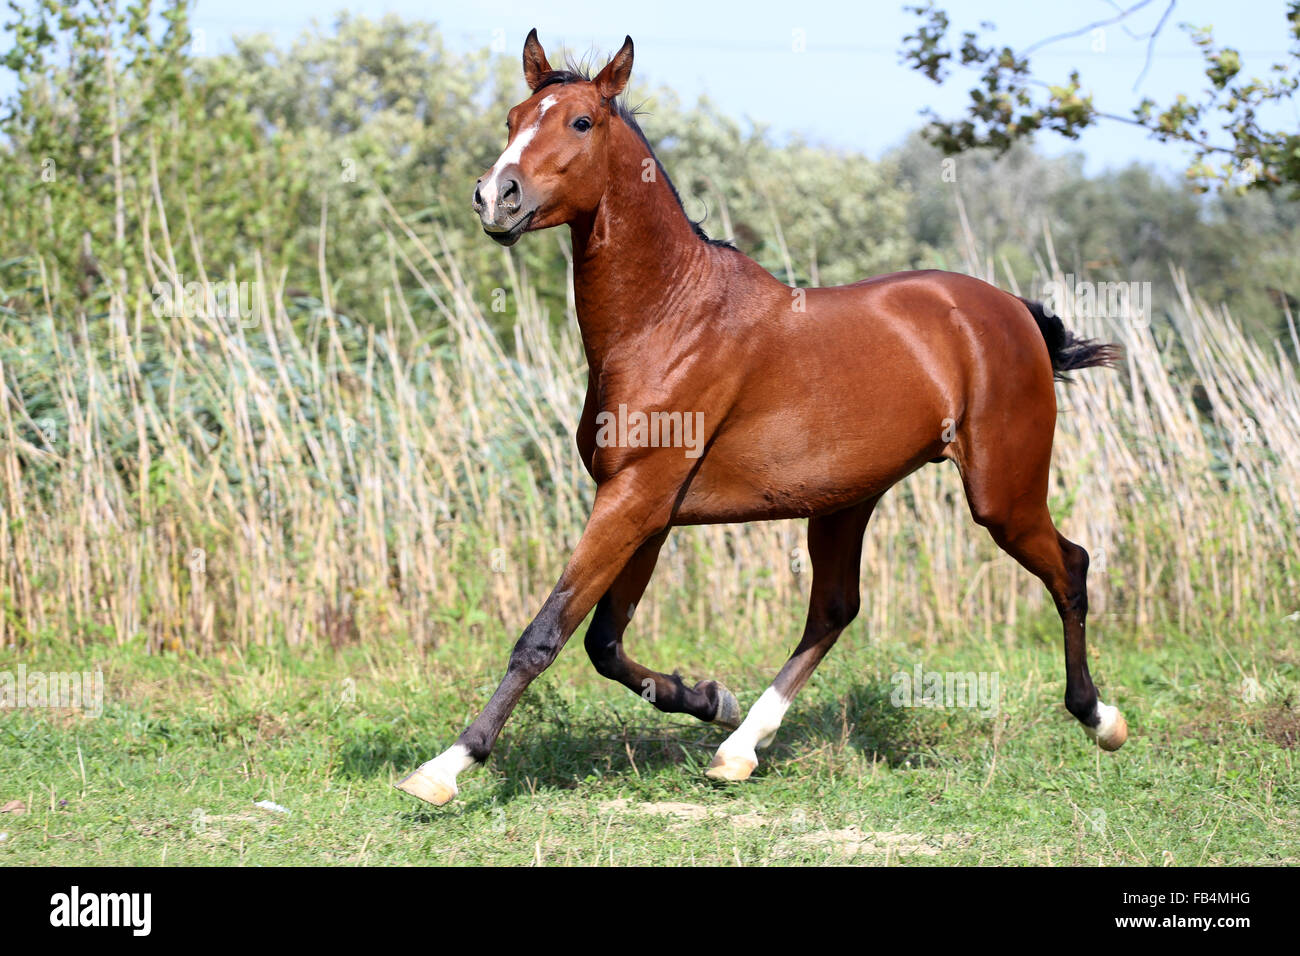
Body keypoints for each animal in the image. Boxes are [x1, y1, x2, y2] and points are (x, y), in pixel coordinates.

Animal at [396, 29, 1127, 807]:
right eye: (512, 118)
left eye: (581, 122)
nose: (494, 198)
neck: (668, 318)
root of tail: (1012, 311)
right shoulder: (648, 509)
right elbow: (603, 643)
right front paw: (709, 698)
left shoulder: (633, 498)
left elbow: (546, 633)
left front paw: (446, 767)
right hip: (847, 500)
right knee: (833, 610)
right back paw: (739, 747)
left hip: (1001, 495)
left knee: (1071, 567)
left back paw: (1100, 718)